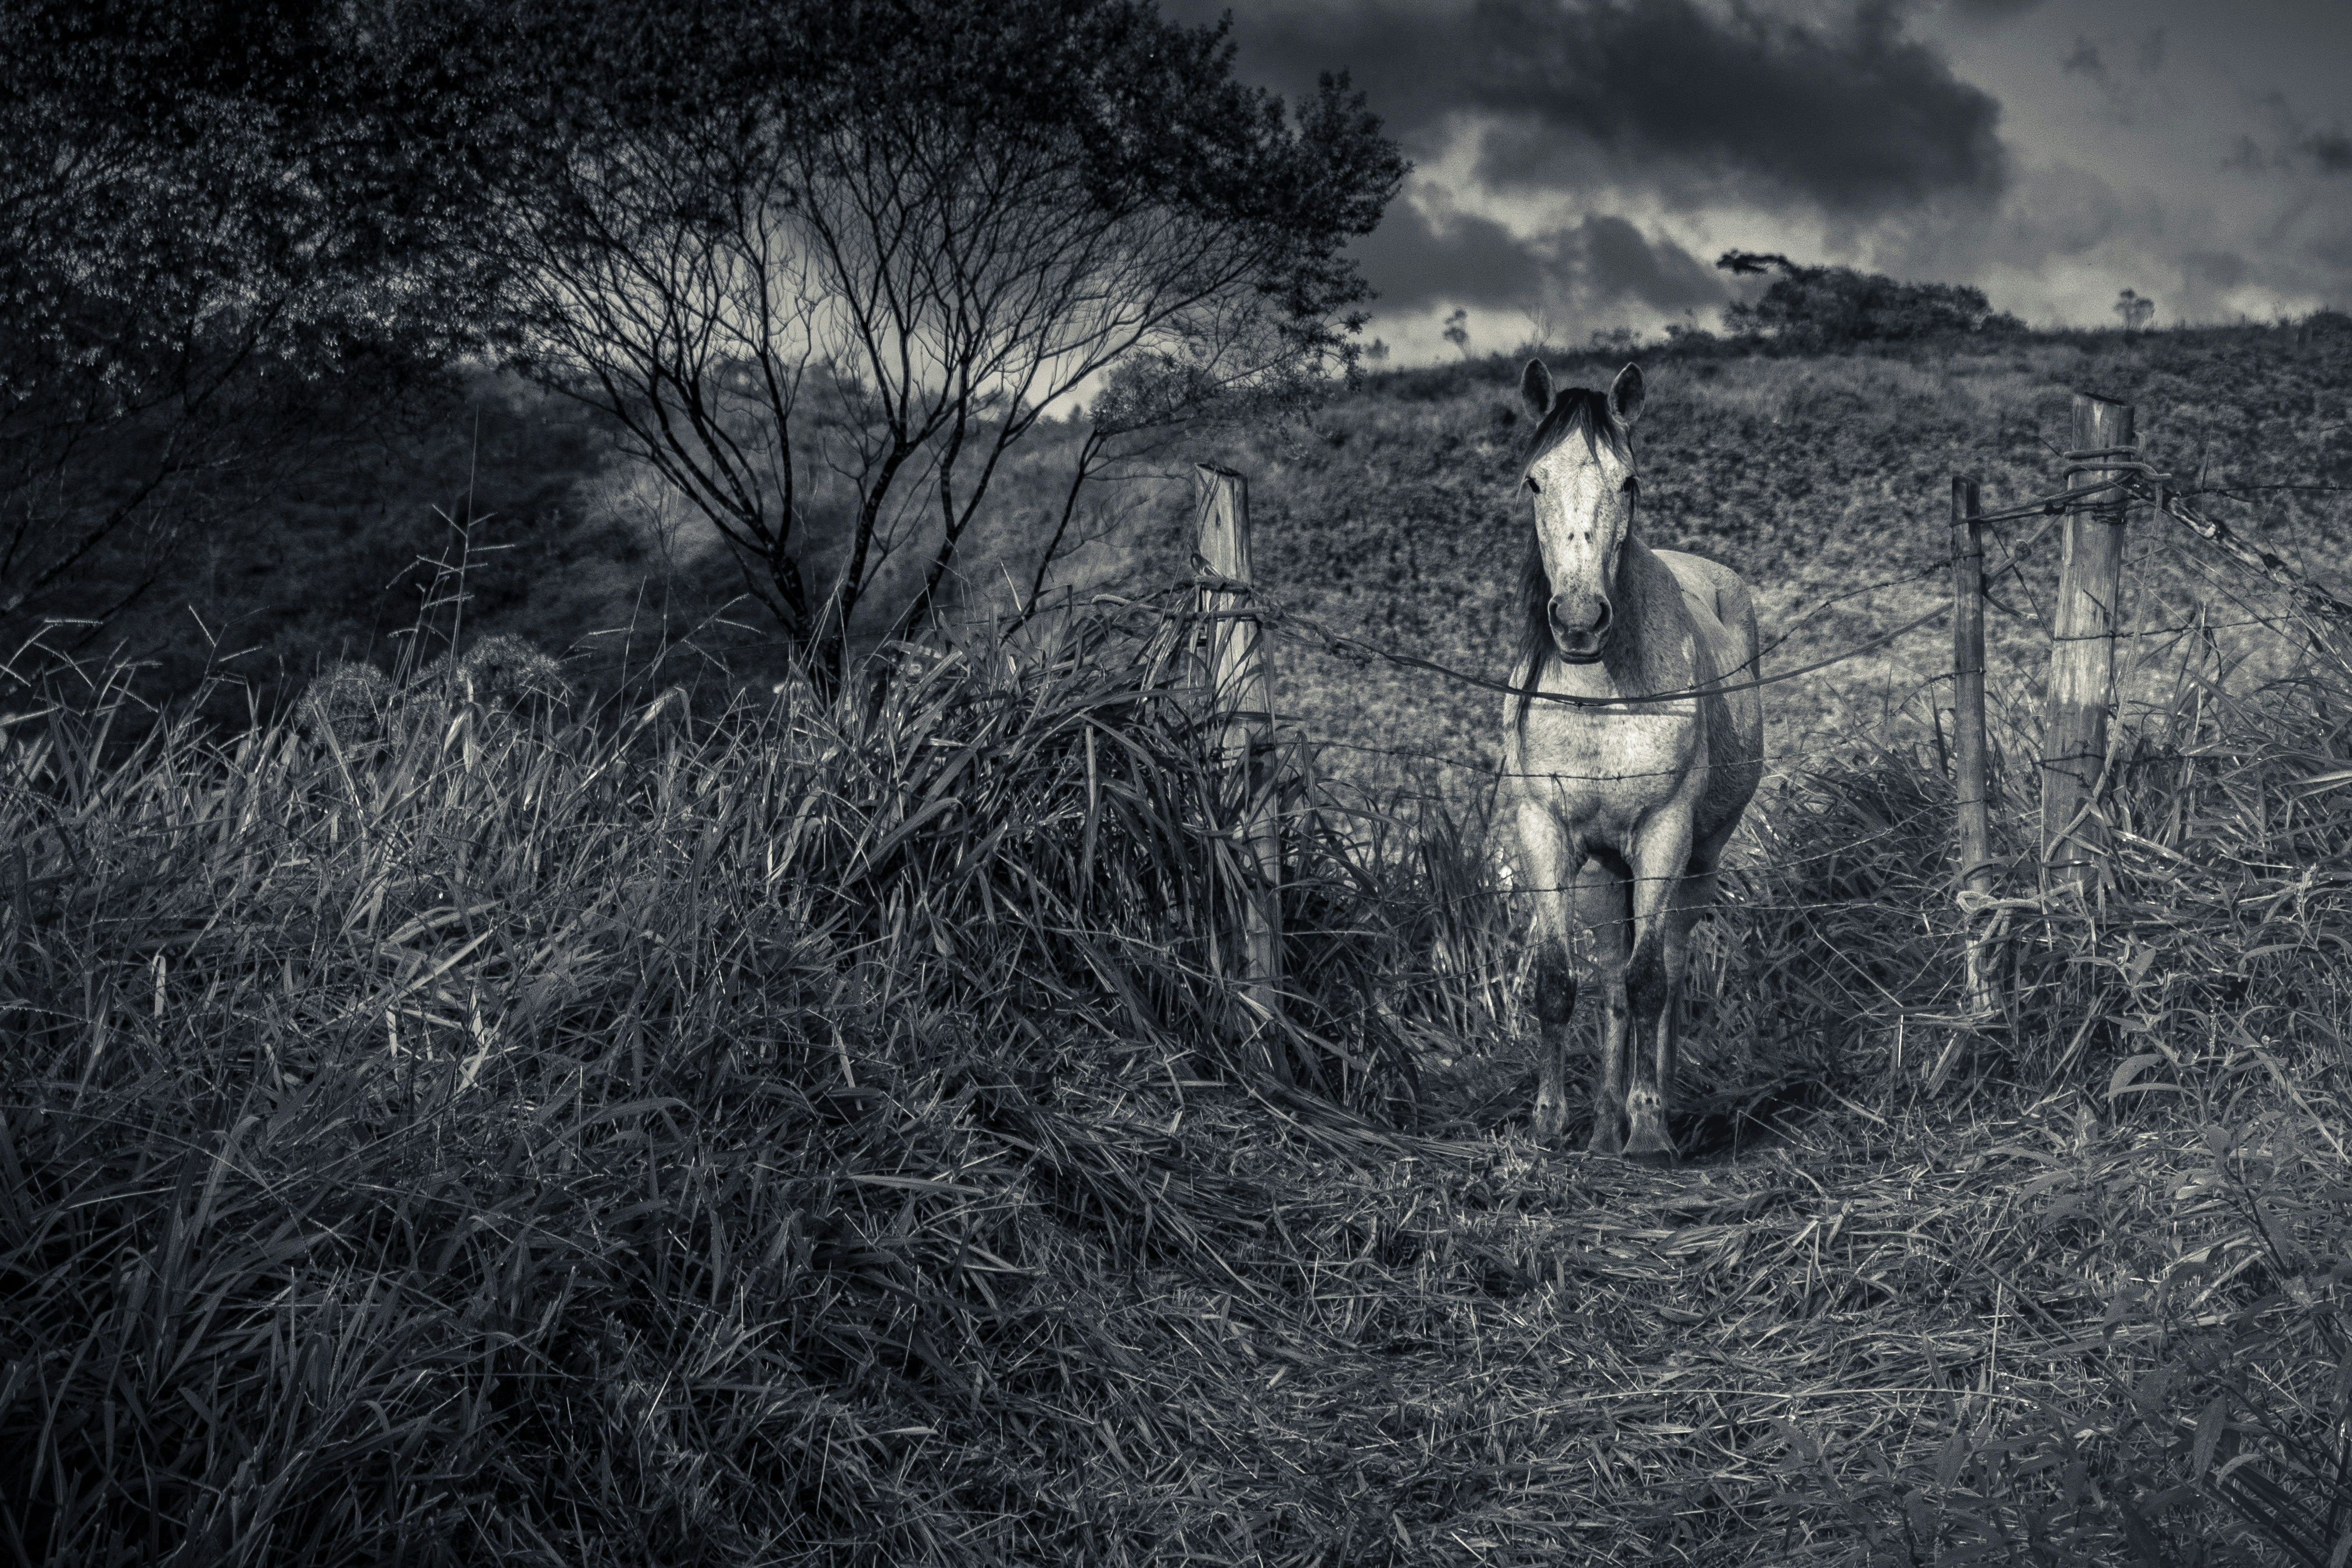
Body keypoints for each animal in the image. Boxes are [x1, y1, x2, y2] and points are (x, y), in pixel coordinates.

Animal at [1502, 359, 1764, 1164]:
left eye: (1629, 482)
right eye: (1534, 480)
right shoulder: (1545, 832)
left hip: (1697, 858)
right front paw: (1550, 1123)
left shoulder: (1662, 832)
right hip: (1603, 871)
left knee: (1669, 967)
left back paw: (1659, 1105)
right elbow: (1561, 983)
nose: (1579, 621)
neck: (1597, 693)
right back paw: (1601, 1124)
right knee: (1612, 981)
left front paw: (1649, 1130)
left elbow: (1650, 979)